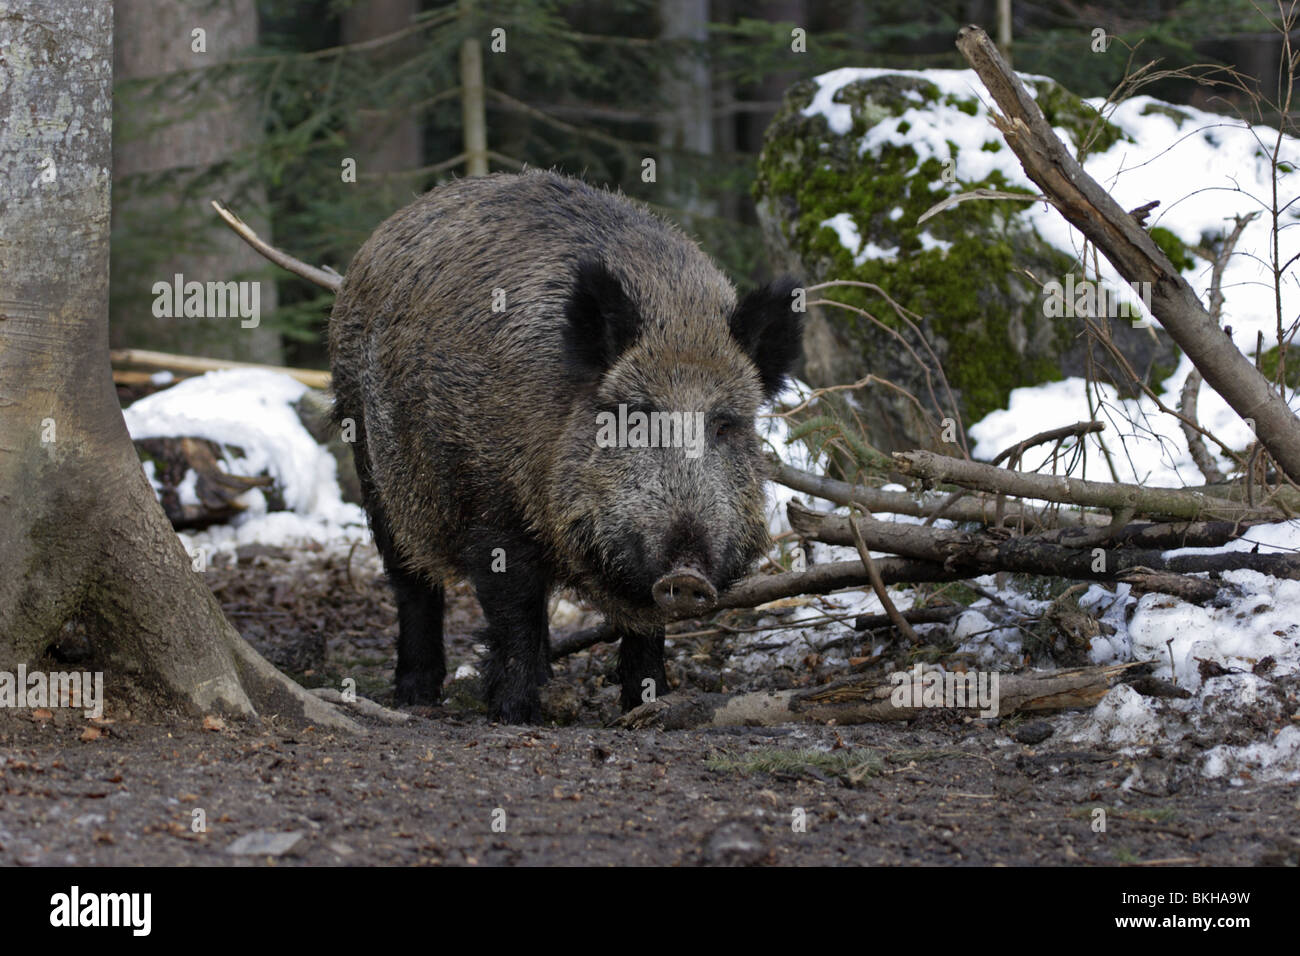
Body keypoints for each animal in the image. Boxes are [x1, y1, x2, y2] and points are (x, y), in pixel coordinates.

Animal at [329, 170, 802, 723]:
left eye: (725, 426)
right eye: (633, 417)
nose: (687, 575)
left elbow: (645, 626)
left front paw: (648, 706)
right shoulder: (491, 509)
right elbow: (515, 613)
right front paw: (514, 713)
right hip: (370, 456)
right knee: (411, 582)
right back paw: (416, 696)